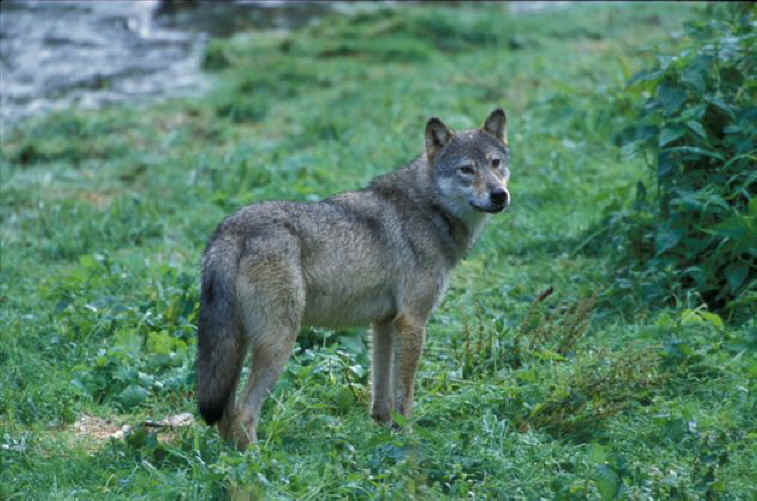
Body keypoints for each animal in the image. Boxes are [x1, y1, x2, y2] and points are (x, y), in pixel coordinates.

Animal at [197, 108, 511, 448]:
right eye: (466, 169)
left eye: (495, 163)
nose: (499, 195)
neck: (428, 209)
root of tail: (230, 231)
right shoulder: (413, 321)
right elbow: (405, 395)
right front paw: (408, 438)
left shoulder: (385, 322)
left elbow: (382, 394)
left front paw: (386, 432)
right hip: (279, 343)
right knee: (244, 414)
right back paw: (257, 459)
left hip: (235, 351)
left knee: (225, 417)